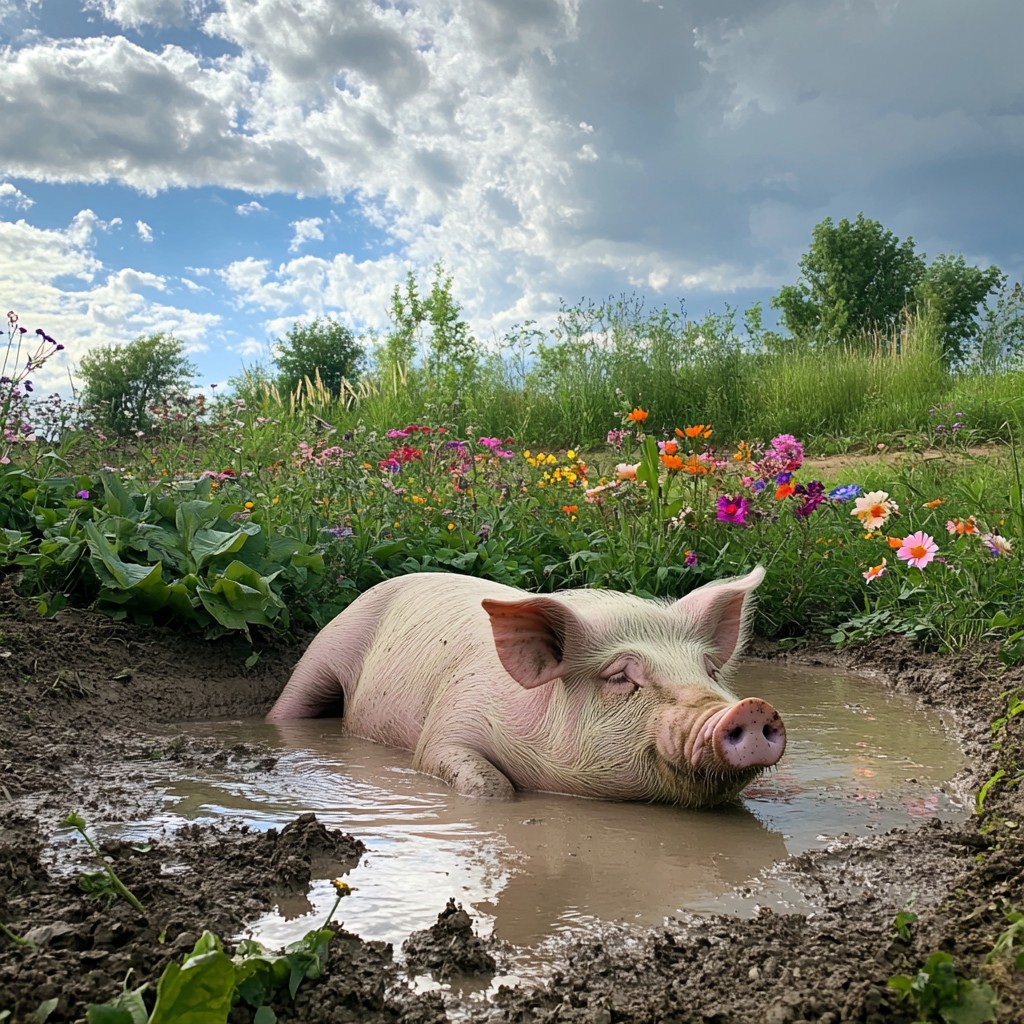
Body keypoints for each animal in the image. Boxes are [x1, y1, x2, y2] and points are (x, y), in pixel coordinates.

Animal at [266, 567, 786, 807]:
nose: (752, 707)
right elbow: (484, 784)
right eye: (621, 676)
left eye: (709, 671)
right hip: (324, 651)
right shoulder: (452, 718)